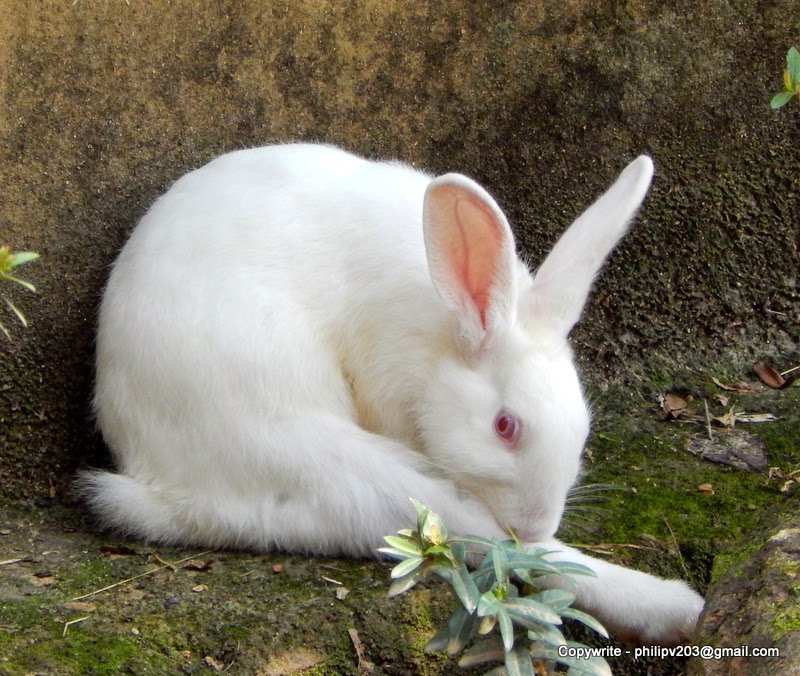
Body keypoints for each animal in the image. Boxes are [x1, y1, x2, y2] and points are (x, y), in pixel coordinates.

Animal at [81, 142, 703, 645]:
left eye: (583, 428)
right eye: (505, 426)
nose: (536, 524)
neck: (440, 336)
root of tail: (164, 490)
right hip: (319, 452)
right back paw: (676, 607)